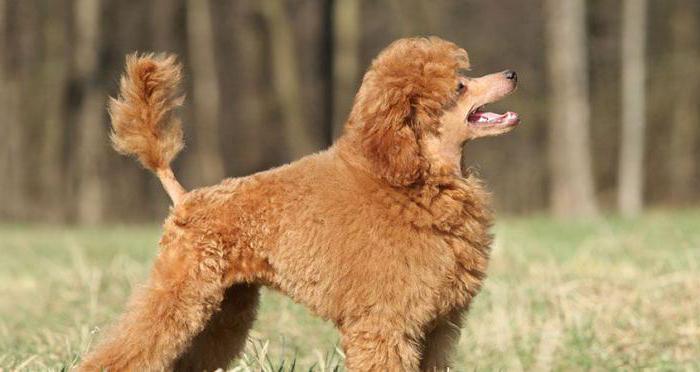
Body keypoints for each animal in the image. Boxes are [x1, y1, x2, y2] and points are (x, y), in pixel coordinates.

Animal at [79, 36, 520, 370]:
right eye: (459, 86)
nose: (512, 74)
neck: (413, 183)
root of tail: (186, 199)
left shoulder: (437, 326)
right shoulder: (385, 324)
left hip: (223, 308)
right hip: (180, 291)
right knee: (129, 349)